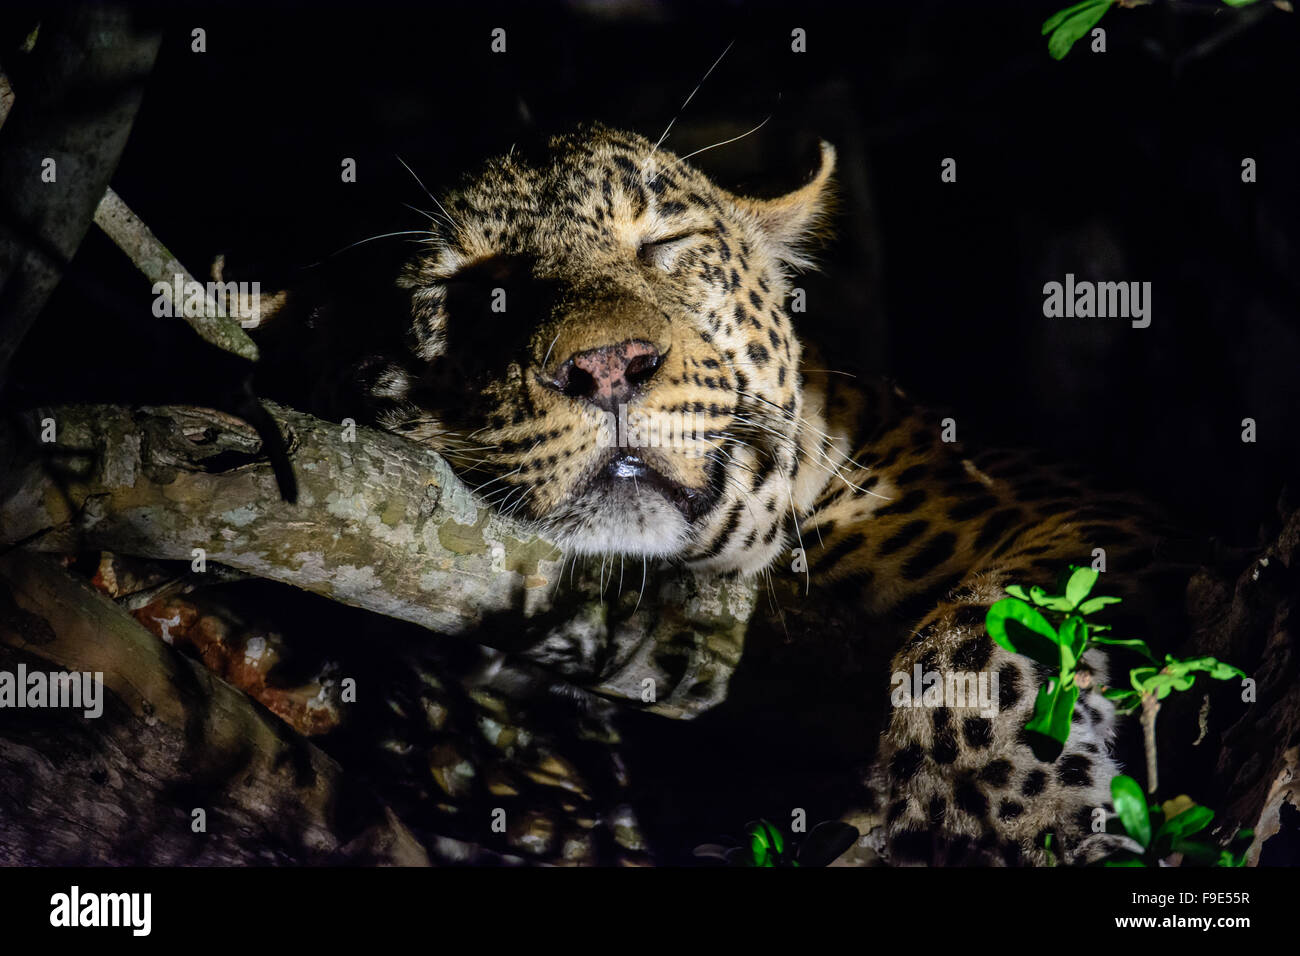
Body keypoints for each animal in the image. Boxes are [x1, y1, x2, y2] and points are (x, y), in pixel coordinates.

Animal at [286, 122, 1192, 865]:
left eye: (666, 244)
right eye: (463, 290)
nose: (606, 365)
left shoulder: (1105, 511)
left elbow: (981, 630)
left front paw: (988, 811)